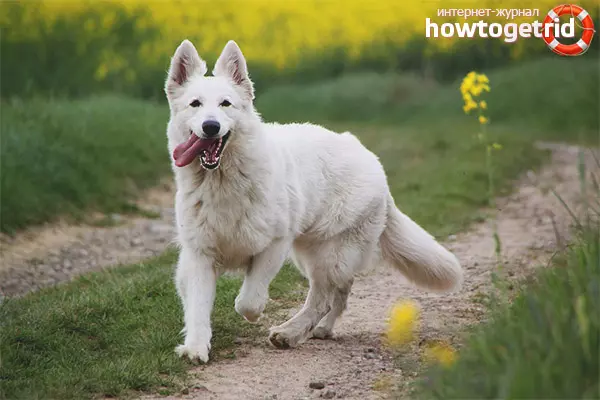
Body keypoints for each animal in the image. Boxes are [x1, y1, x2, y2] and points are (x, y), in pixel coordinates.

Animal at [165, 38, 464, 362]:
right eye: (195, 104)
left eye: (225, 104)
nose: (210, 126)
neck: (223, 183)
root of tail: (371, 159)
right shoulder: (199, 256)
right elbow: (197, 308)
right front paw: (195, 348)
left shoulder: (275, 246)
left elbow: (249, 301)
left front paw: (253, 316)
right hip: (316, 254)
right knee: (340, 294)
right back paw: (320, 329)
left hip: (326, 255)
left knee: (324, 298)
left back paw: (290, 333)